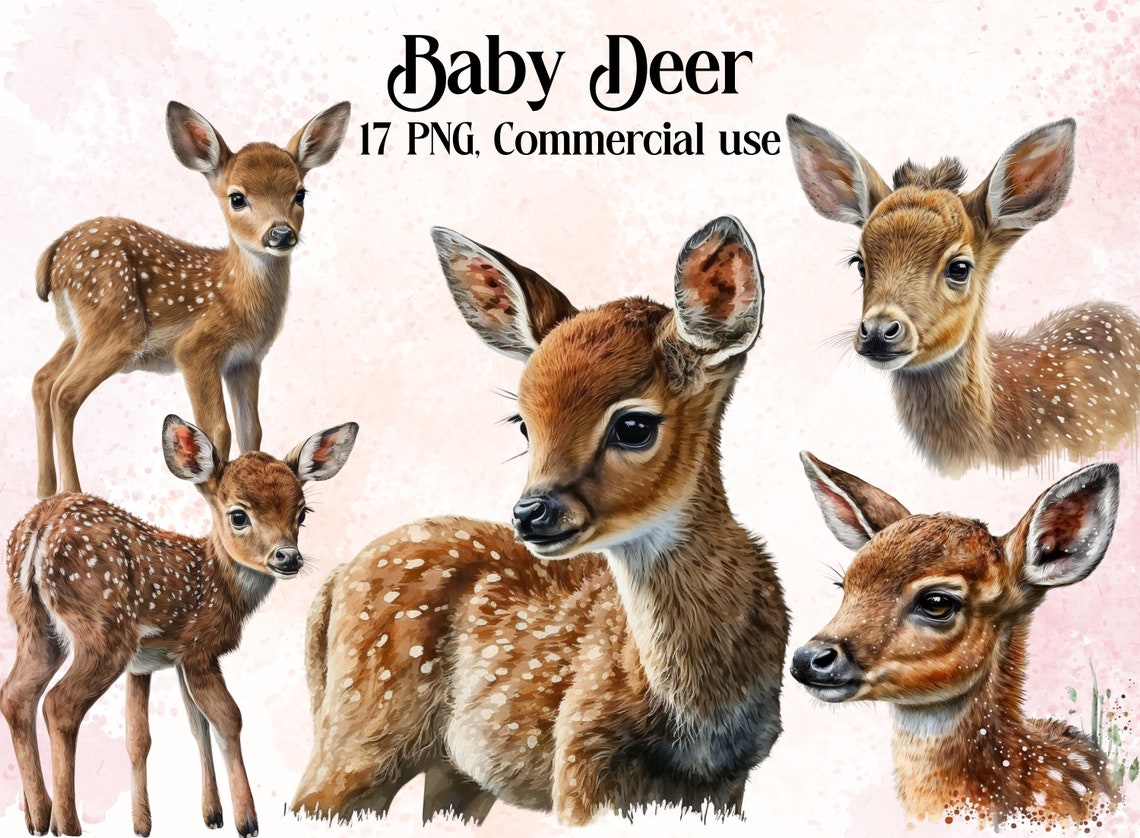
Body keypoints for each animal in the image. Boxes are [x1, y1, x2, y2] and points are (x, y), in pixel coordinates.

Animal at [0, 415, 358, 837]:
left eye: (302, 513)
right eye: (239, 515)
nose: (288, 557)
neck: (215, 579)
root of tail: (41, 524)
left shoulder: (157, 662)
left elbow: (169, 730)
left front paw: (197, 817)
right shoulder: (199, 648)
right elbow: (228, 719)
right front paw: (246, 820)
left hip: (35, 625)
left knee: (15, 696)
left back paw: (38, 817)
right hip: (103, 631)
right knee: (58, 704)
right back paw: (66, 823)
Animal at [32, 99, 351, 499]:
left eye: (300, 194)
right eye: (237, 197)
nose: (280, 234)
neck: (234, 294)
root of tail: (53, 255)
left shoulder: (245, 361)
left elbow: (251, 429)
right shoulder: (196, 349)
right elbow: (217, 430)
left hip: (77, 332)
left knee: (42, 380)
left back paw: (45, 489)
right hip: (114, 326)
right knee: (64, 393)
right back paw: (73, 492)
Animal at [289, 217, 789, 826]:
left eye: (634, 426)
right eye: (523, 424)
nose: (531, 513)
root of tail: (337, 577)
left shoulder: (729, 783)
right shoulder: (578, 755)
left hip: (453, 771)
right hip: (363, 728)